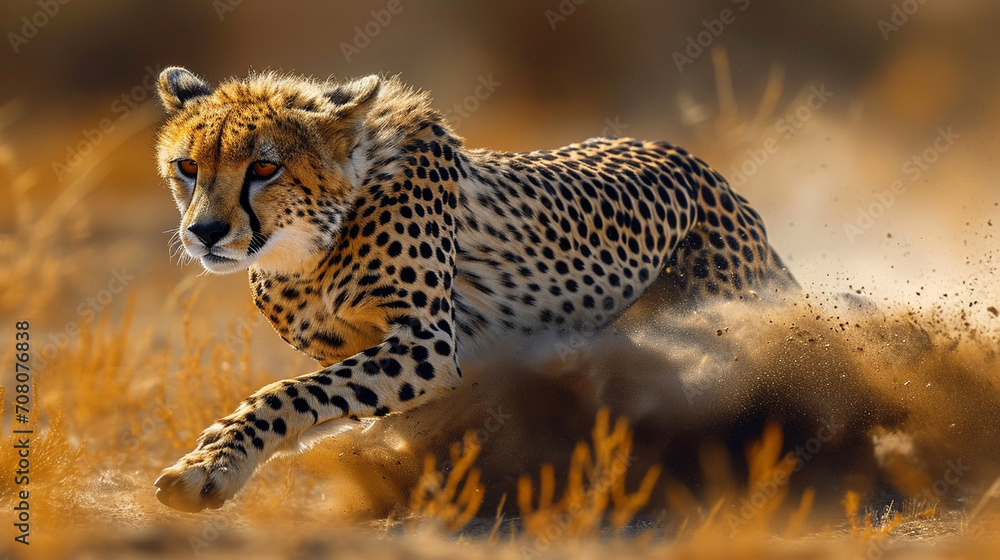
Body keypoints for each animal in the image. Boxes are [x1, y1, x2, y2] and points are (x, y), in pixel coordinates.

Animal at [152, 67, 798, 512]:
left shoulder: (429, 347)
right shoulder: (374, 356)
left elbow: (286, 392)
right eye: (188, 167)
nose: (204, 232)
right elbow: (322, 400)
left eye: (265, 168)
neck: (313, 245)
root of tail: (700, 166)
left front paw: (211, 463)